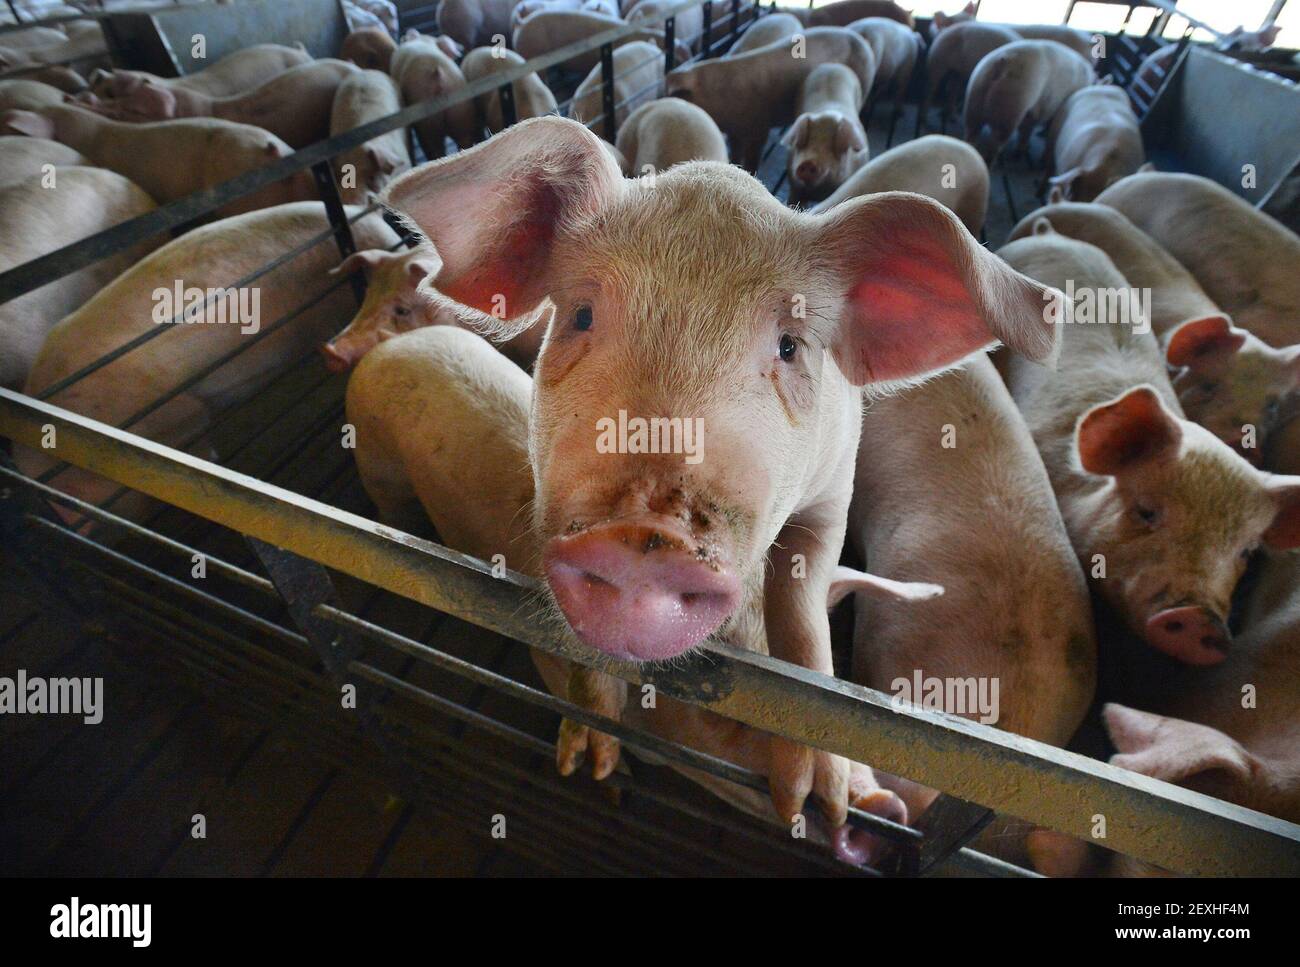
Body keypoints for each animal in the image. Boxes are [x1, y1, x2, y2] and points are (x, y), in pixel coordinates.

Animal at [346, 324, 943, 861]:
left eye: (833, 675)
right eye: (722, 714)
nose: (883, 807)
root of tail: (390, 345)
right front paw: (603, 778)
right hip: (377, 464)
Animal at [666, 27, 876, 170]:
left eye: (673, 95)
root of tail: (863, 41)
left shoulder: (759, 127)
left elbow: (753, 156)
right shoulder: (735, 131)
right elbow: (735, 151)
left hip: (865, 81)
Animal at [964, 39, 1093, 163]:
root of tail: (1003, 62)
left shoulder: (1031, 113)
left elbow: (1026, 130)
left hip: (974, 99)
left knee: (972, 135)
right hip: (1011, 107)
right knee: (995, 145)